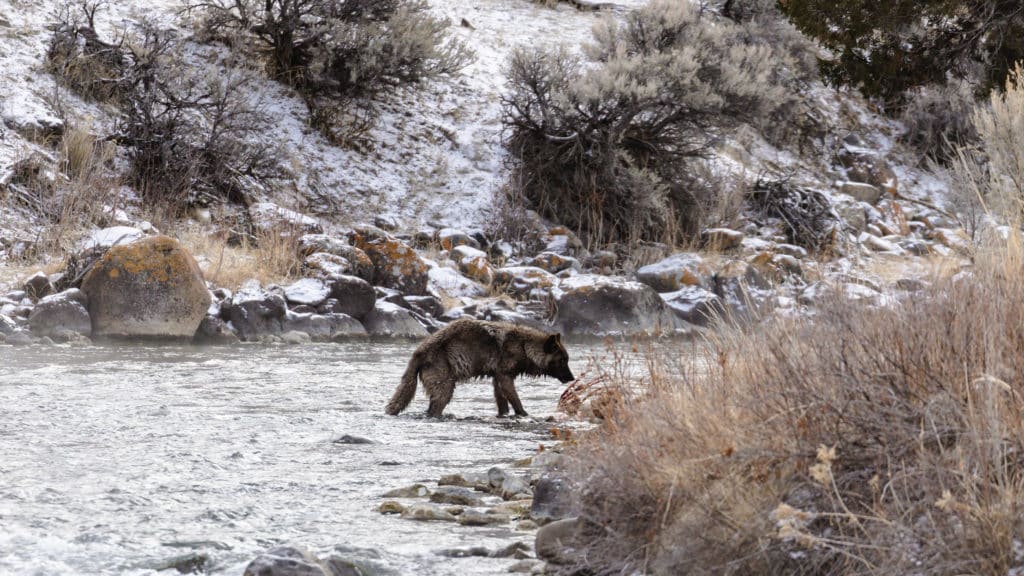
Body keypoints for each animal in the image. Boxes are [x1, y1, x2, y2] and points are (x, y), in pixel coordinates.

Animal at [385, 318, 575, 418]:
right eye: (563, 360)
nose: (572, 378)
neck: (523, 346)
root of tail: (418, 352)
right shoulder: (505, 376)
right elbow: (516, 401)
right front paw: (525, 415)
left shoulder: (497, 379)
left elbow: (502, 403)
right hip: (446, 387)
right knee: (435, 408)